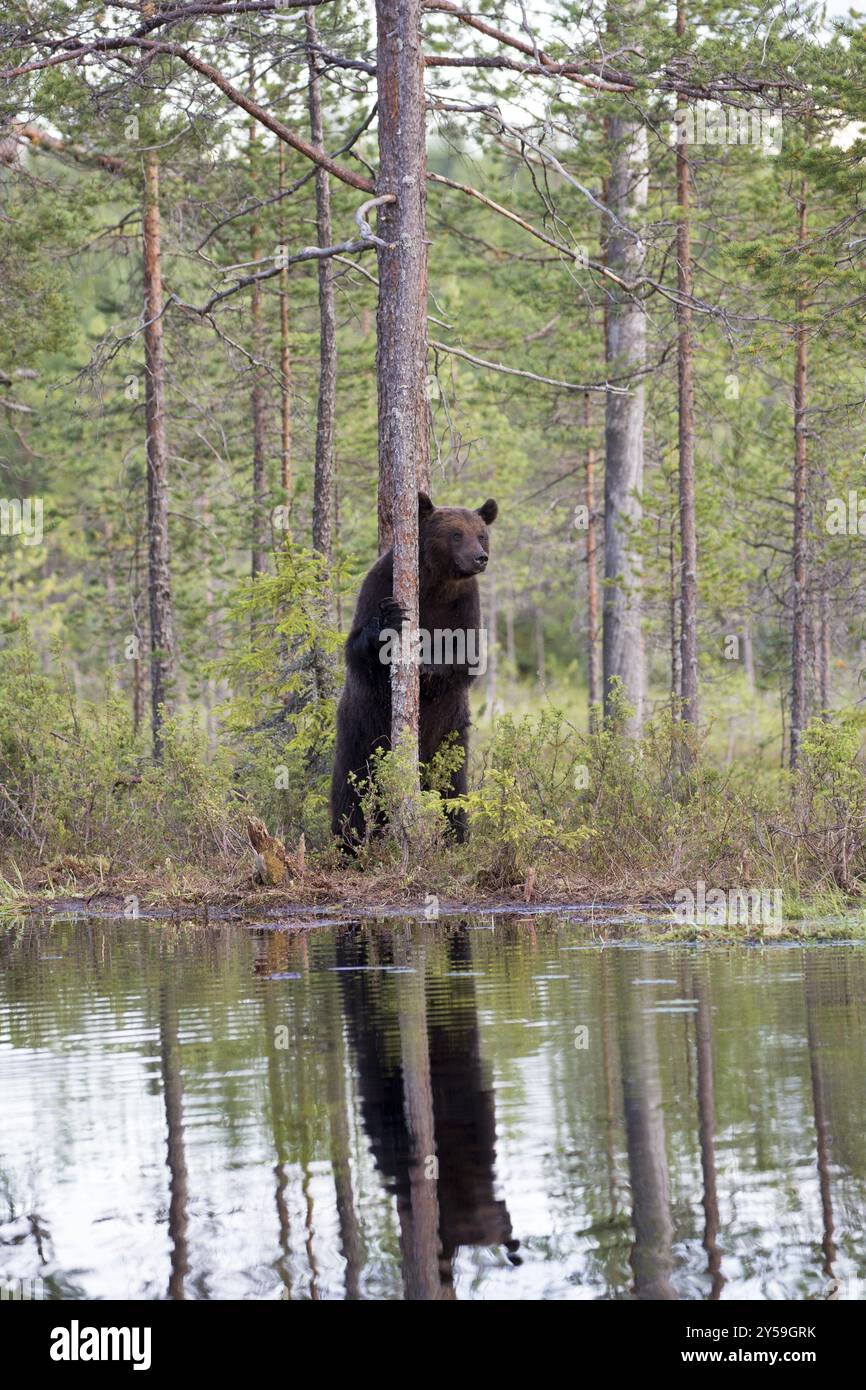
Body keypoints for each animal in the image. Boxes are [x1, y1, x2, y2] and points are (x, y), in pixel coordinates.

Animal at [330, 490, 498, 849]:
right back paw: (348, 843)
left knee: (453, 787)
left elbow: (466, 659)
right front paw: (388, 621)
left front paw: (430, 667)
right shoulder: (380, 582)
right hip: (361, 728)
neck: (435, 585)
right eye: (456, 534)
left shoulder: (464, 605)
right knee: (351, 791)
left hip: (450, 733)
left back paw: (456, 838)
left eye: (481, 534)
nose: (480, 558)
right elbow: (357, 648)